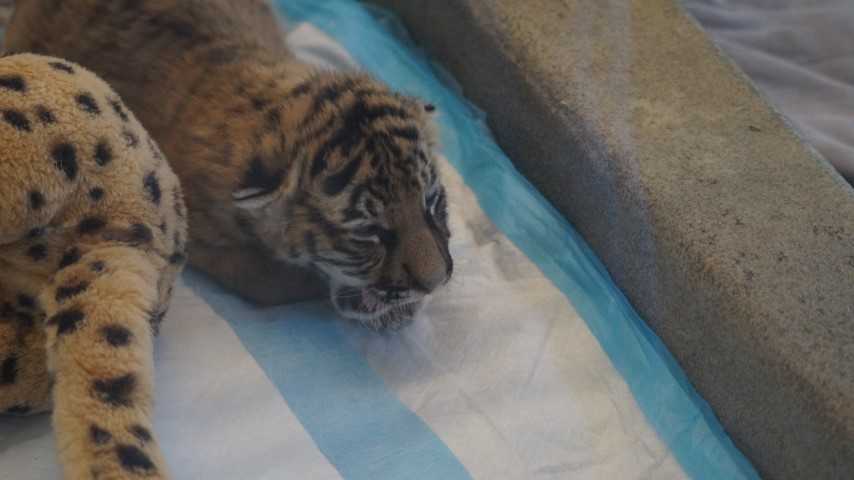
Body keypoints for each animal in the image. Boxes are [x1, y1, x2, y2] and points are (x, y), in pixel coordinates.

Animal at [5, 0, 454, 330]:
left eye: (433, 203)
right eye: (368, 233)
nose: (438, 283)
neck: (273, 107)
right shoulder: (210, 243)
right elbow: (278, 284)